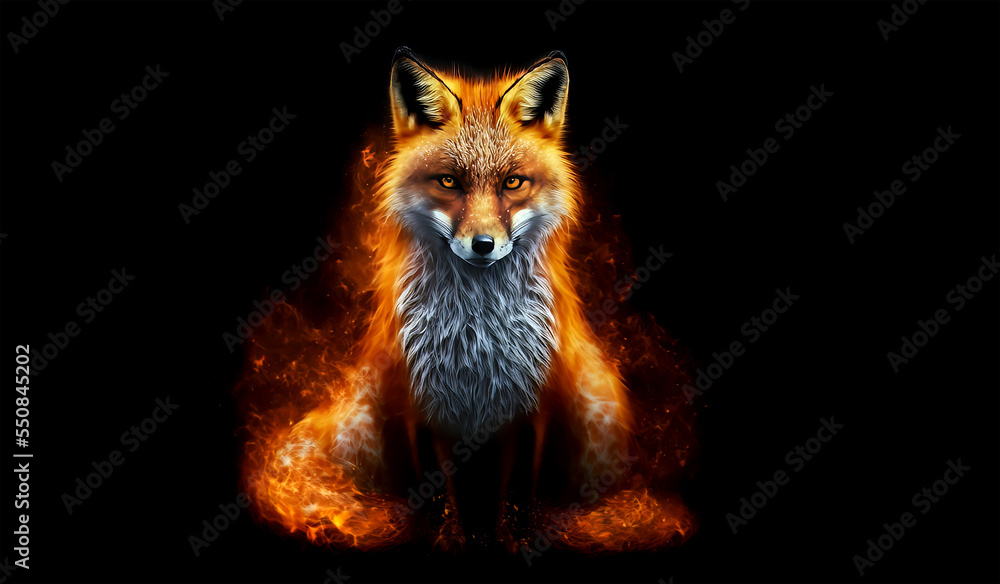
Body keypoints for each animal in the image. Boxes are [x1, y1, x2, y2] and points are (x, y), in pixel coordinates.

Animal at [246, 47, 692, 553]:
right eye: (449, 182)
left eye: (513, 183)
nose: (483, 245)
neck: (475, 341)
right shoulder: (414, 407)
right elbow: (436, 498)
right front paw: (446, 542)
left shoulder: (533, 408)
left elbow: (517, 498)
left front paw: (516, 542)